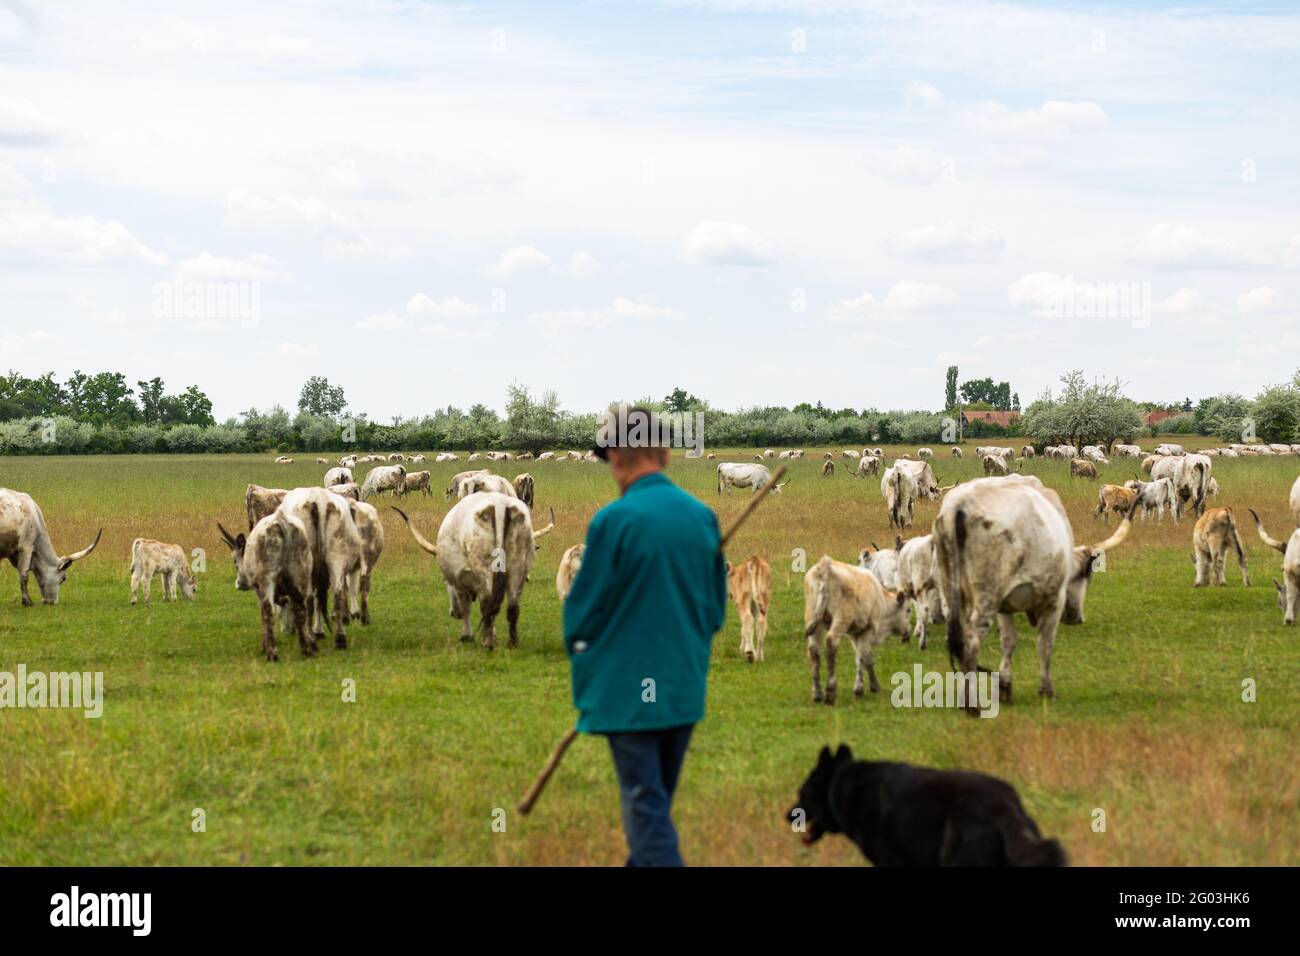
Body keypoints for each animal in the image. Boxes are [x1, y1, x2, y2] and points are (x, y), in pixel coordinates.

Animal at [218, 512, 316, 661]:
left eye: (234, 560)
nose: (240, 584)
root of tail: (281, 522)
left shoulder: (258, 589)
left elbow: (263, 613)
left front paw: (264, 646)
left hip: (267, 577)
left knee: (268, 611)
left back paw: (272, 653)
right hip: (302, 572)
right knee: (303, 607)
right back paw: (307, 649)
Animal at [393, 492, 552, 649]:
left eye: (444, 580)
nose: (453, 613)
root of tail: (499, 504)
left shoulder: (460, 580)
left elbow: (466, 607)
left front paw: (467, 635)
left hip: (484, 567)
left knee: (487, 603)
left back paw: (487, 644)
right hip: (518, 567)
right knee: (512, 607)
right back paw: (511, 644)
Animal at [802, 555, 910, 704]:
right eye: (908, 610)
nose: (908, 632)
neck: (881, 599)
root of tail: (825, 565)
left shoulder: (855, 633)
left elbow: (863, 657)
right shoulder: (867, 630)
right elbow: (864, 658)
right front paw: (862, 688)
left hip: (812, 619)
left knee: (814, 651)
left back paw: (817, 693)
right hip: (841, 619)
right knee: (831, 644)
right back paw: (830, 692)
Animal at [933, 475, 1135, 700]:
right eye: (1086, 577)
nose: (1077, 618)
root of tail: (962, 505)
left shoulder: (1005, 606)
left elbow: (1009, 642)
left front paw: (1005, 686)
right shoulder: (1054, 602)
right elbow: (1045, 645)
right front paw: (1046, 689)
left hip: (952, 589)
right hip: (987, 596)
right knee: (972, 641)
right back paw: (970, 700)